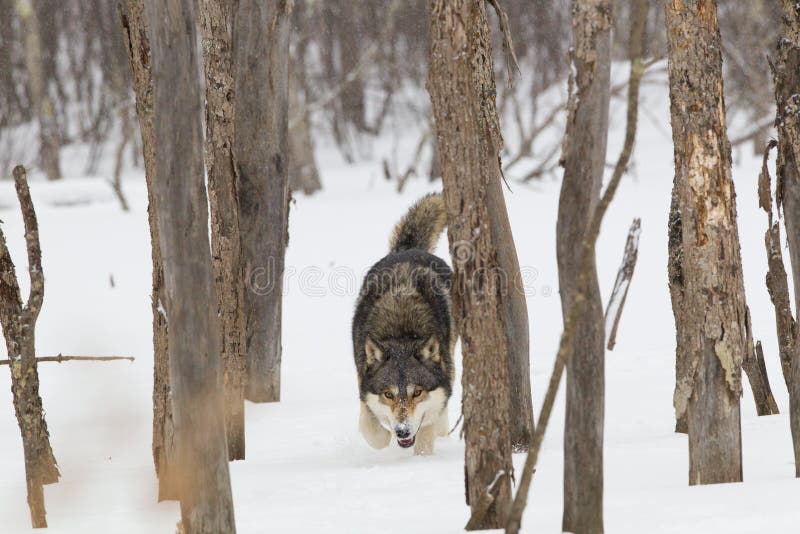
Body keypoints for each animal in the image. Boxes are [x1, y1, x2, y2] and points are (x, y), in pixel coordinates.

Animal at [352, 193, 456, 455]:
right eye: (388, 394)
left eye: (417, 392)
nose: (402, 431)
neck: (401, 332)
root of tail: (411, 249)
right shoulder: (362, 378)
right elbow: (371, 429)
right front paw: (385, 437)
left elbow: (427, 430)